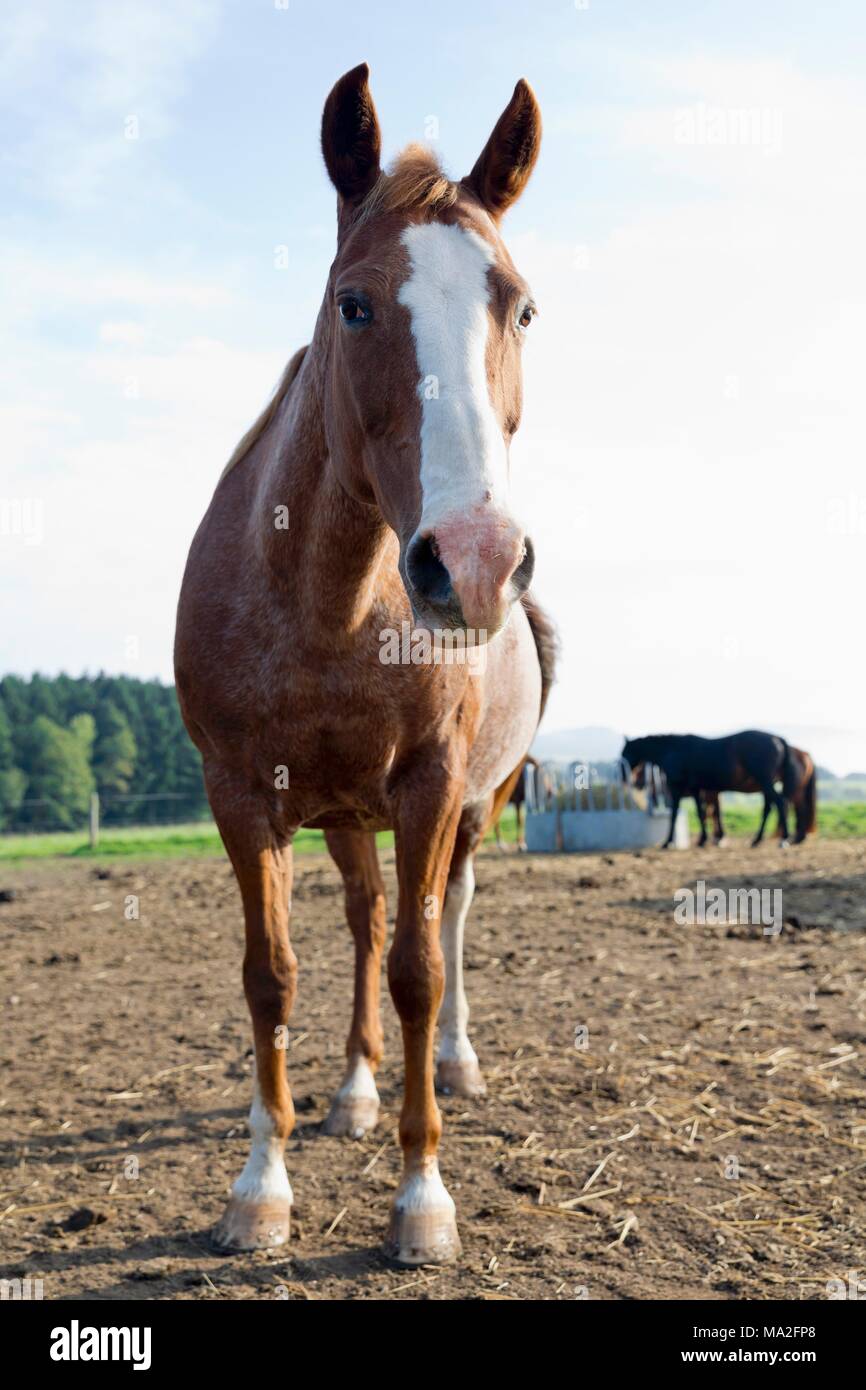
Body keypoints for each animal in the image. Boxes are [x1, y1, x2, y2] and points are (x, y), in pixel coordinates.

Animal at [174, 64, 555, 1267]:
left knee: (445, 918)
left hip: (474, 802)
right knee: (366, 916)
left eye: (519, 305)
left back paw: (454, 1064)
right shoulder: (243, 794)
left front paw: (422, 1198)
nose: (473, 561)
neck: (330, 602)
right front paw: (261, 1186)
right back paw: (348, 1091)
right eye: (353, 302)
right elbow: (272, 975)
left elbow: (419, 972)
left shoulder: (432, 784)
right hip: (344, 814)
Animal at [621, 731, 808, 848]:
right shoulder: (696, 788)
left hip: (765, 780)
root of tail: (778, 738)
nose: (624, 777)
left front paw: (668, 842)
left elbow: (675, 815)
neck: (672, 750)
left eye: (624, 752)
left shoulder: (677, 787)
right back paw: (757, 840)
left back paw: (783, 839)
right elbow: (700, 813)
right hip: (766, 783)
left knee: (780, 803)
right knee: (769, 807)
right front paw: (702, 840)